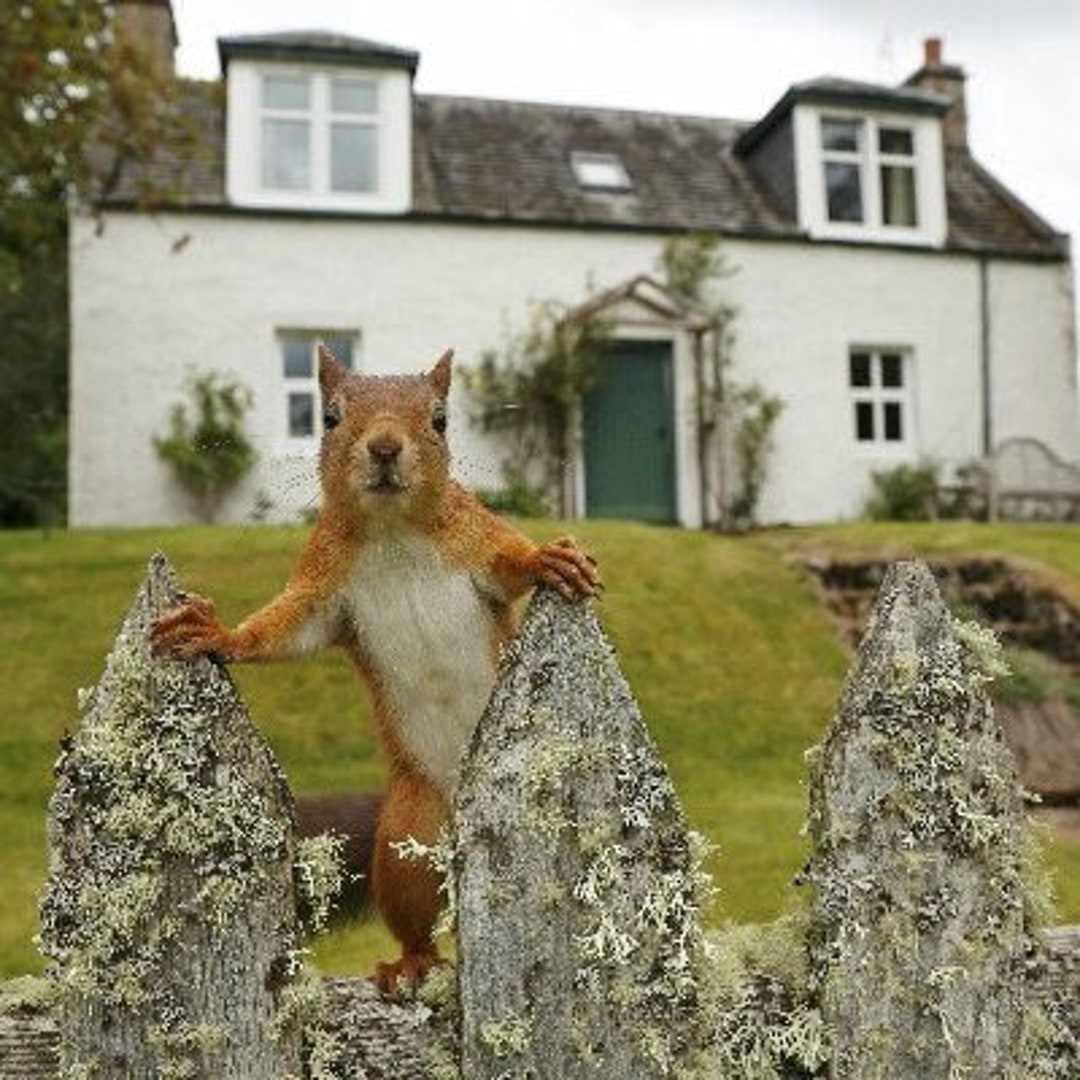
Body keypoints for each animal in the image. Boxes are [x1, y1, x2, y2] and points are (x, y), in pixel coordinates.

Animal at [151, 346, 599, 994]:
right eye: (330, 417)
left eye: (440, 419)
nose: (385, 446)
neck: (393, 531)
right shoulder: (321, 589)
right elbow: (282, 632)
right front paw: (217, 634)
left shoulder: (478, 540)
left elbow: (511, 563)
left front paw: (548, 557)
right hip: (409, 836)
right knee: (416, 913)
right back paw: (413, 962)